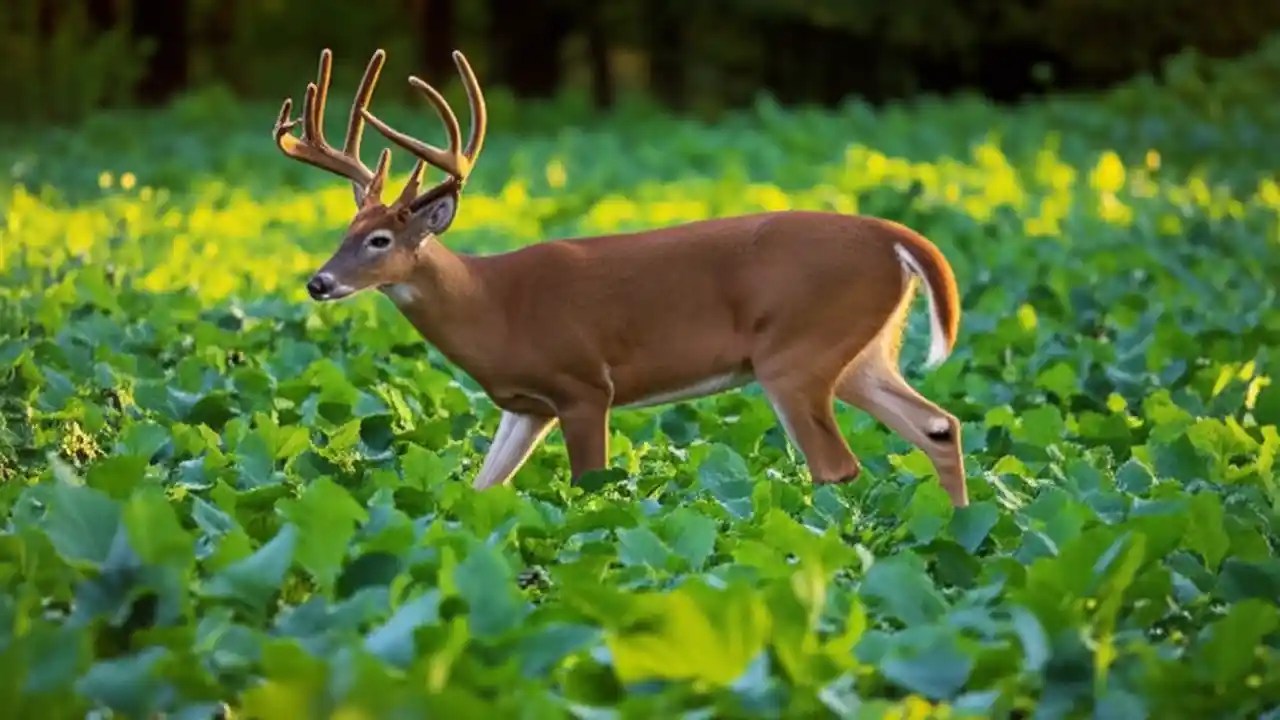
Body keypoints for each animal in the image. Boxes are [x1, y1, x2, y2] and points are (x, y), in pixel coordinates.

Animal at [272, 48, 970, 508]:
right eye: (345, 231)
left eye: (381, 240)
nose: (318, 283)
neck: (491, 306)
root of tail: (894, 237)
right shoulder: (525, 405)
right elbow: (483, 487)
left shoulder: (583, 385)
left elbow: (591, 490)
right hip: (858, 353)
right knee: (939, 426)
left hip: (796, 352)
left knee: (837, 466)